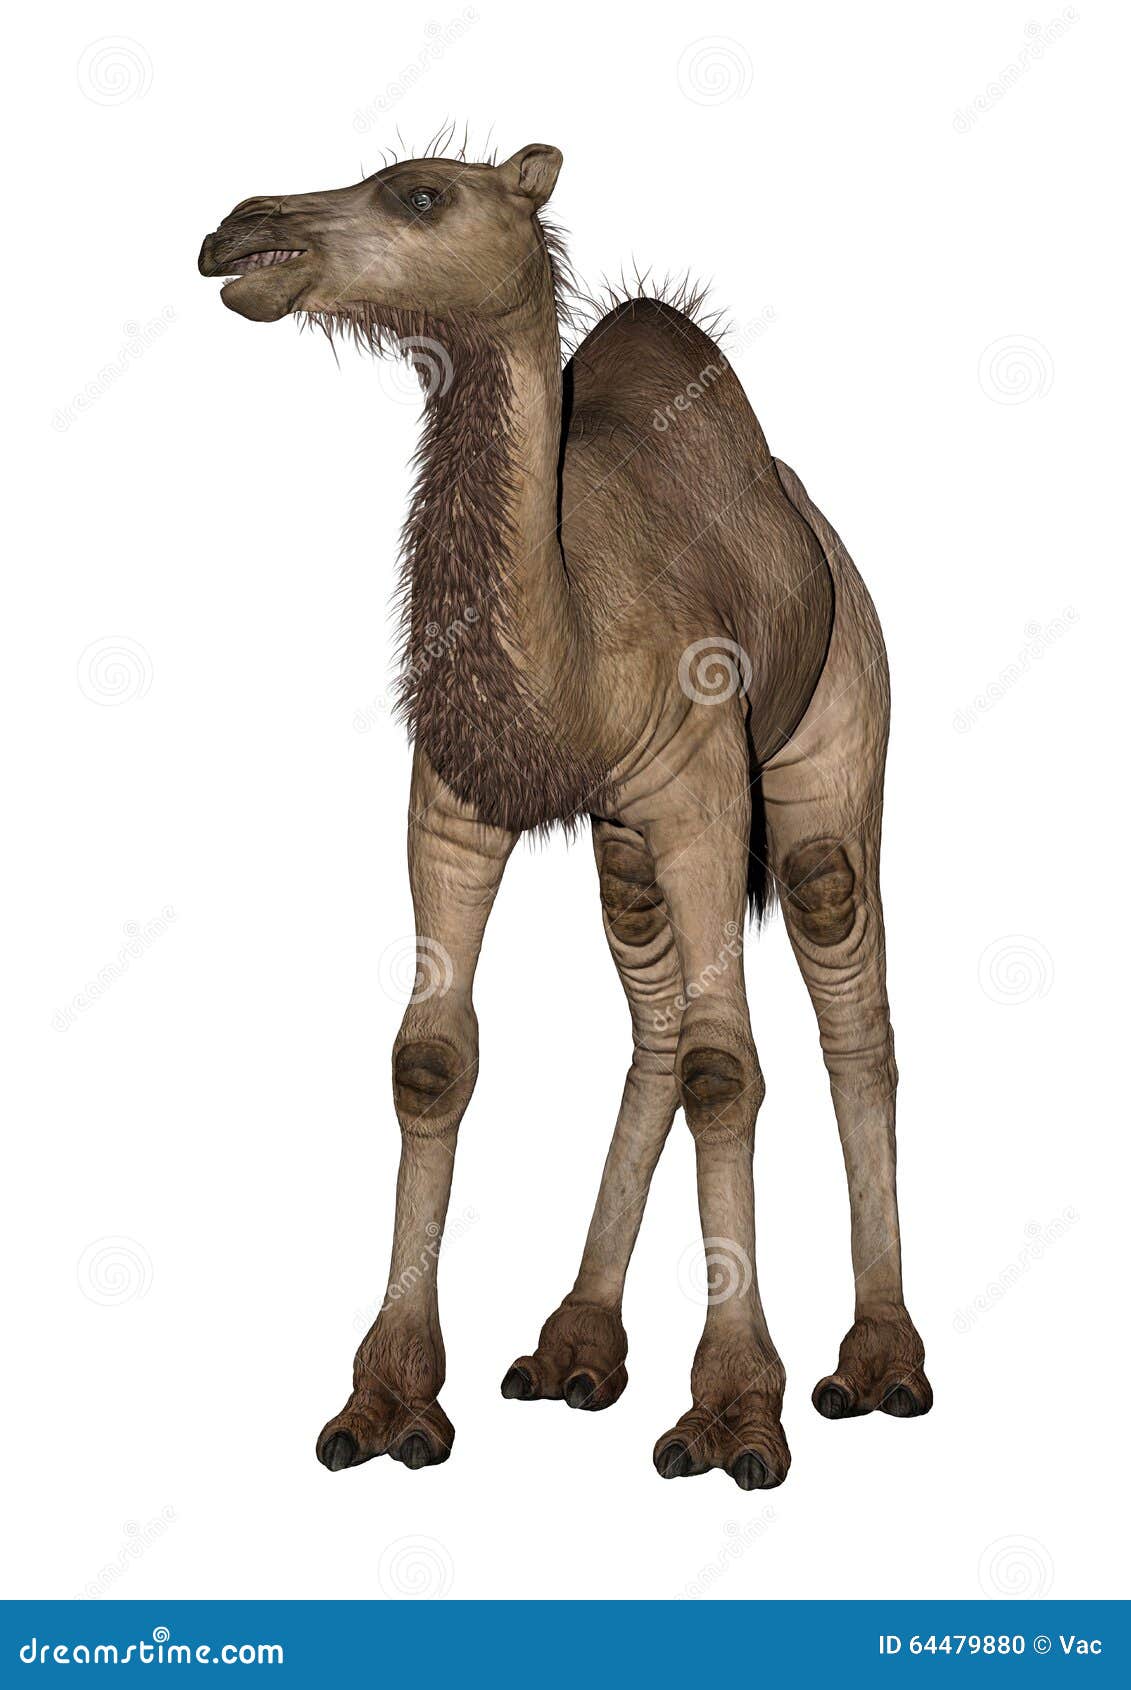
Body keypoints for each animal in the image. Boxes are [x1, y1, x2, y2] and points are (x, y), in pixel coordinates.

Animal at [198, 141, 932, 1490]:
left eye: (420, 193)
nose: (240, 229)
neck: (576, 638)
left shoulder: (701, 788)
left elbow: (728, 1071)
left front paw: (736, 1415)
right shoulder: (460, 796)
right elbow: (432, 1058)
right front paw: (387, 1402)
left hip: (836, 725)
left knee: (844, 989)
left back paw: (878, 1363)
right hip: (625, 850)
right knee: (653, 1023)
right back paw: (575, 1346)